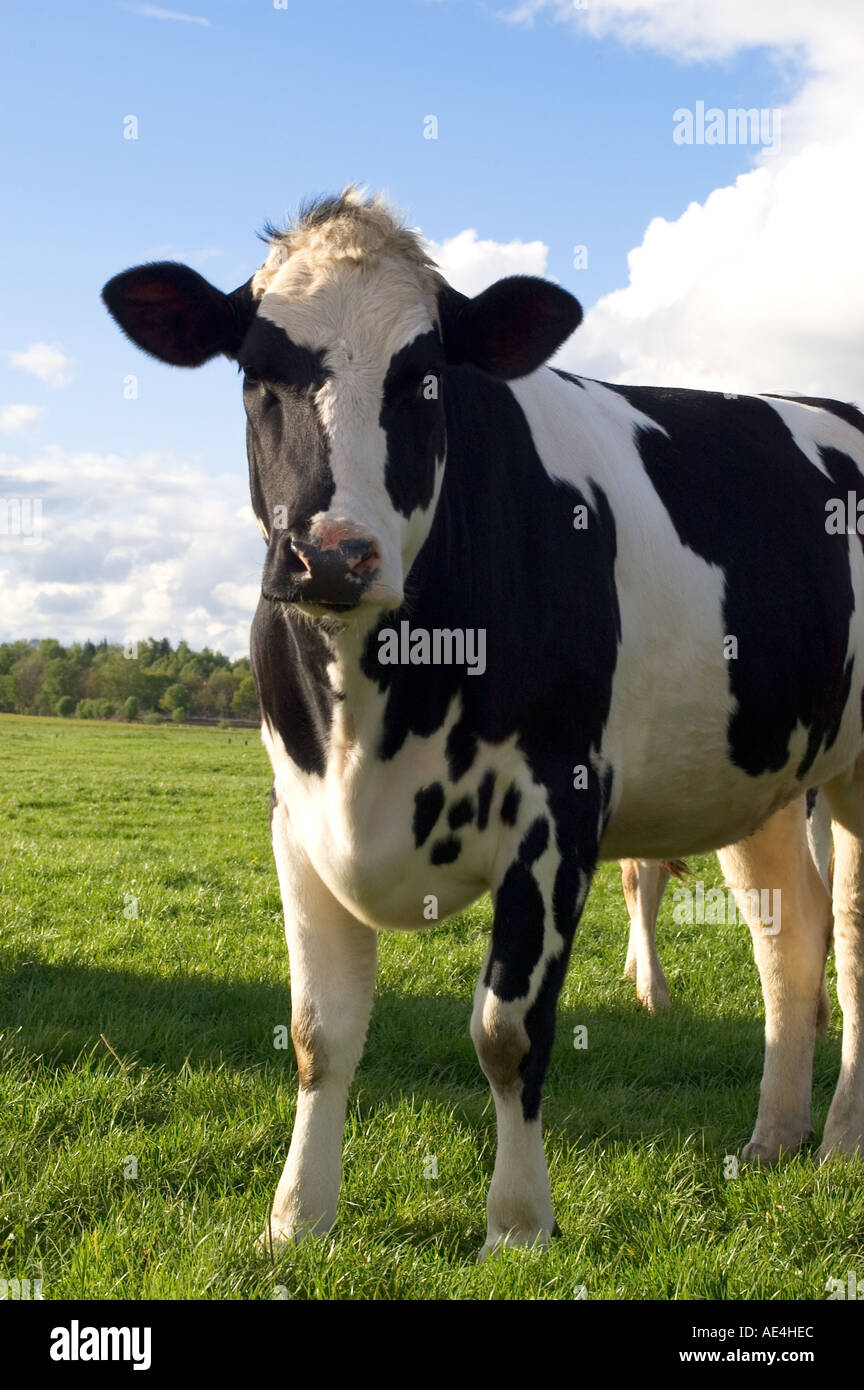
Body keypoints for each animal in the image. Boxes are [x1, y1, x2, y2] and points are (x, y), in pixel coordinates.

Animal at [102, 188, 864, 1257]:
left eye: (426, 379)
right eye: (257, 372)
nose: (333, 555)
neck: (375, 707)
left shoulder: (557, 812)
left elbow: (509, 1032)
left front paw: (518, 1225)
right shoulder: (296, 818)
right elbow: (318, 1032)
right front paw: (297, 1219)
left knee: (851, 938)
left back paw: (838, 1147)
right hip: (757, 772)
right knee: (788, 934)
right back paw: (773, 1140)